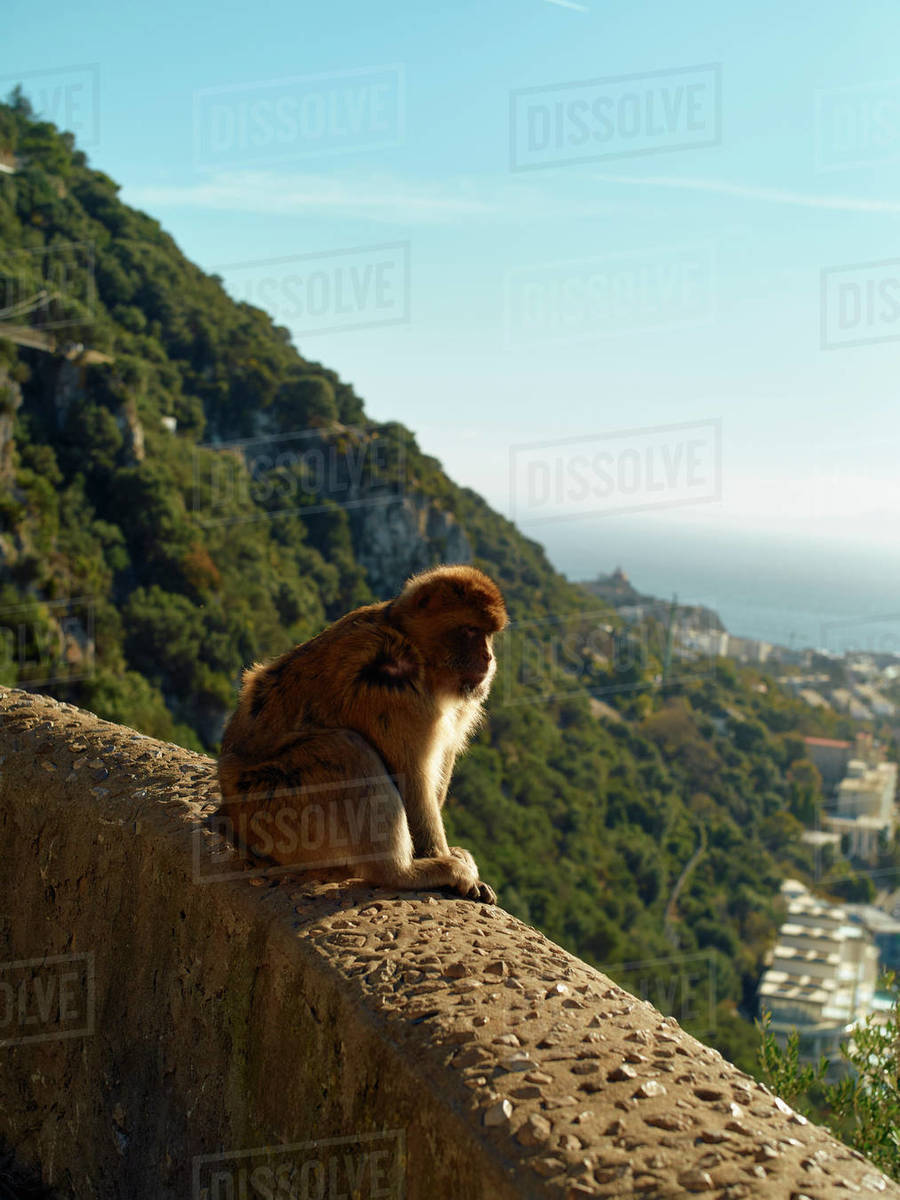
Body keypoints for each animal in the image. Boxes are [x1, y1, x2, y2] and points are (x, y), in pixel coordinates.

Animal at [217, 564, 507, 902]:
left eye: (489, 635)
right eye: (470, 631)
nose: (488, 658)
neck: (416, 649)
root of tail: (229, 810)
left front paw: (448, 852)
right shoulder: (391, 688)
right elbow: (411, 776)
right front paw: (436, 856)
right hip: (268, 806)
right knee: (346, 749)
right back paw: (401, 873)